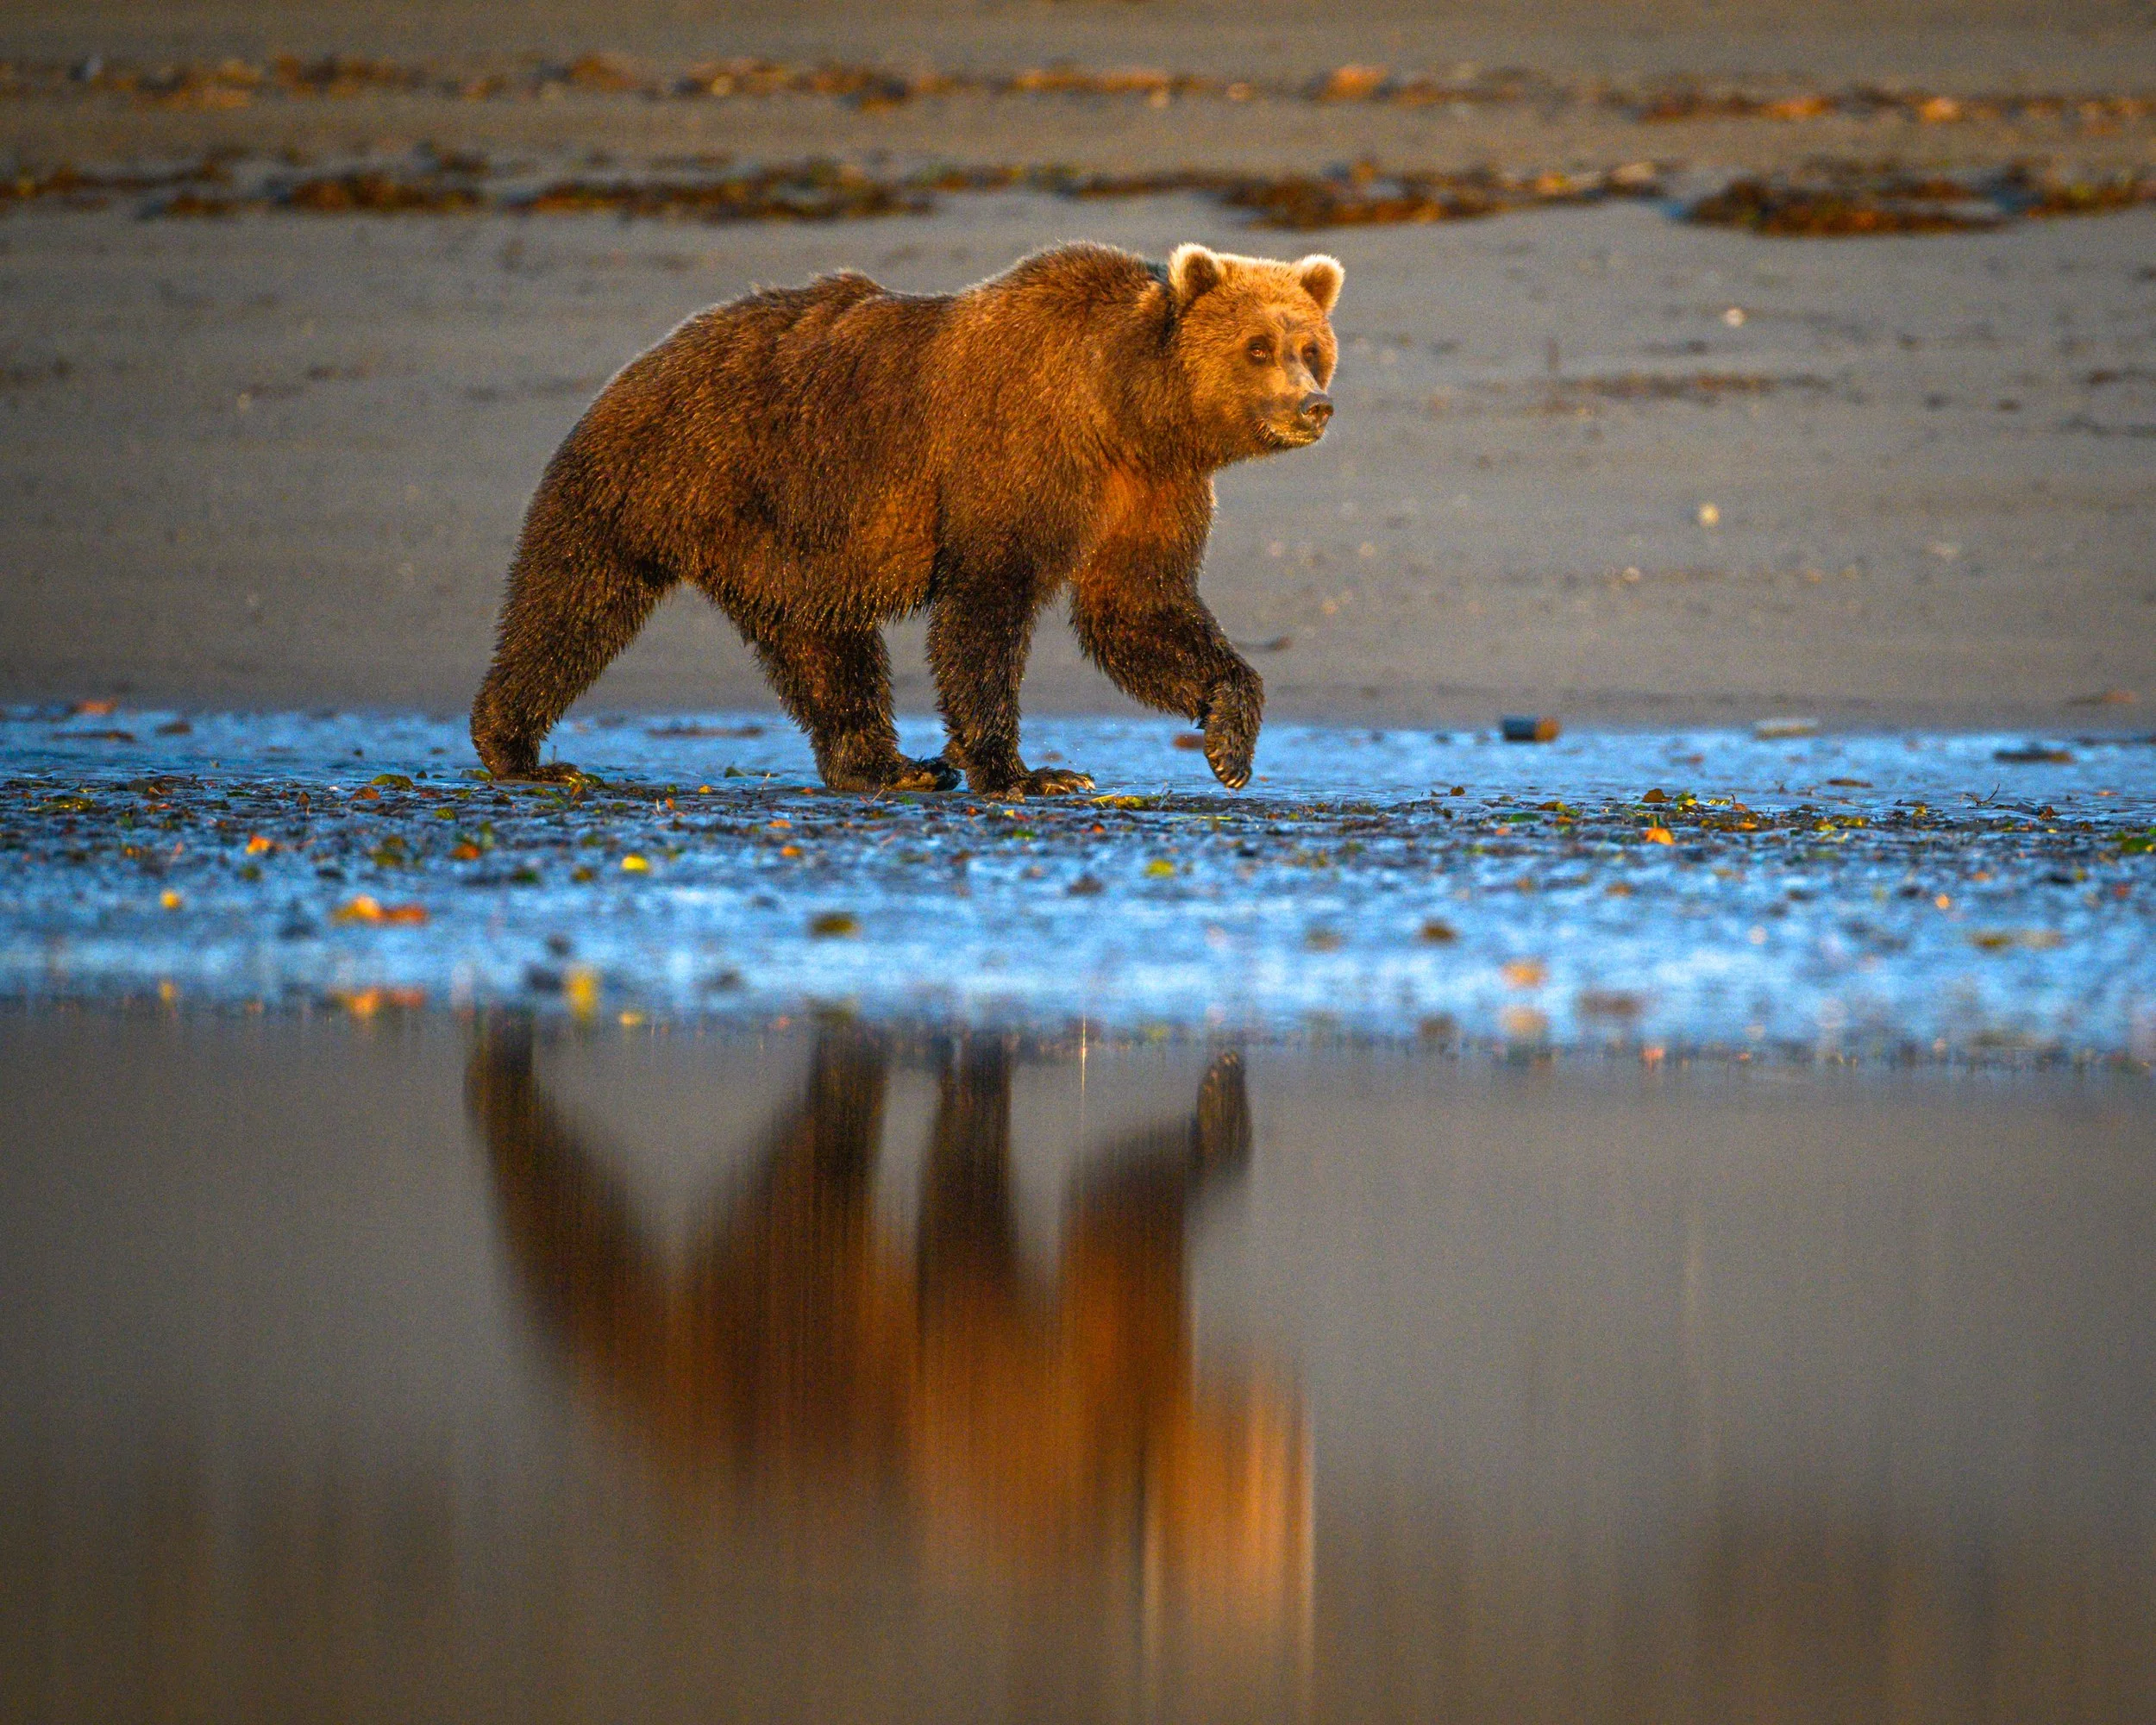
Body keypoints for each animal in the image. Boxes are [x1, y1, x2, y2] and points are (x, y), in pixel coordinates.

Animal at [469, 240, 1342, 796]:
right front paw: (1028, 772)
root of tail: (643, 358)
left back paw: (887, 765)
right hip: (670, 469)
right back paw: (520, 749)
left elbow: (1138, 606)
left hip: (785, 535)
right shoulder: (1016, 455)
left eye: (1311, 347)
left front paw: (1228, 739)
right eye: (1258, 346)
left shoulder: (1150, 490)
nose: (1315, 406)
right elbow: (988, 608)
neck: (1120, 409)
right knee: (577, 597)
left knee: (822, 646)